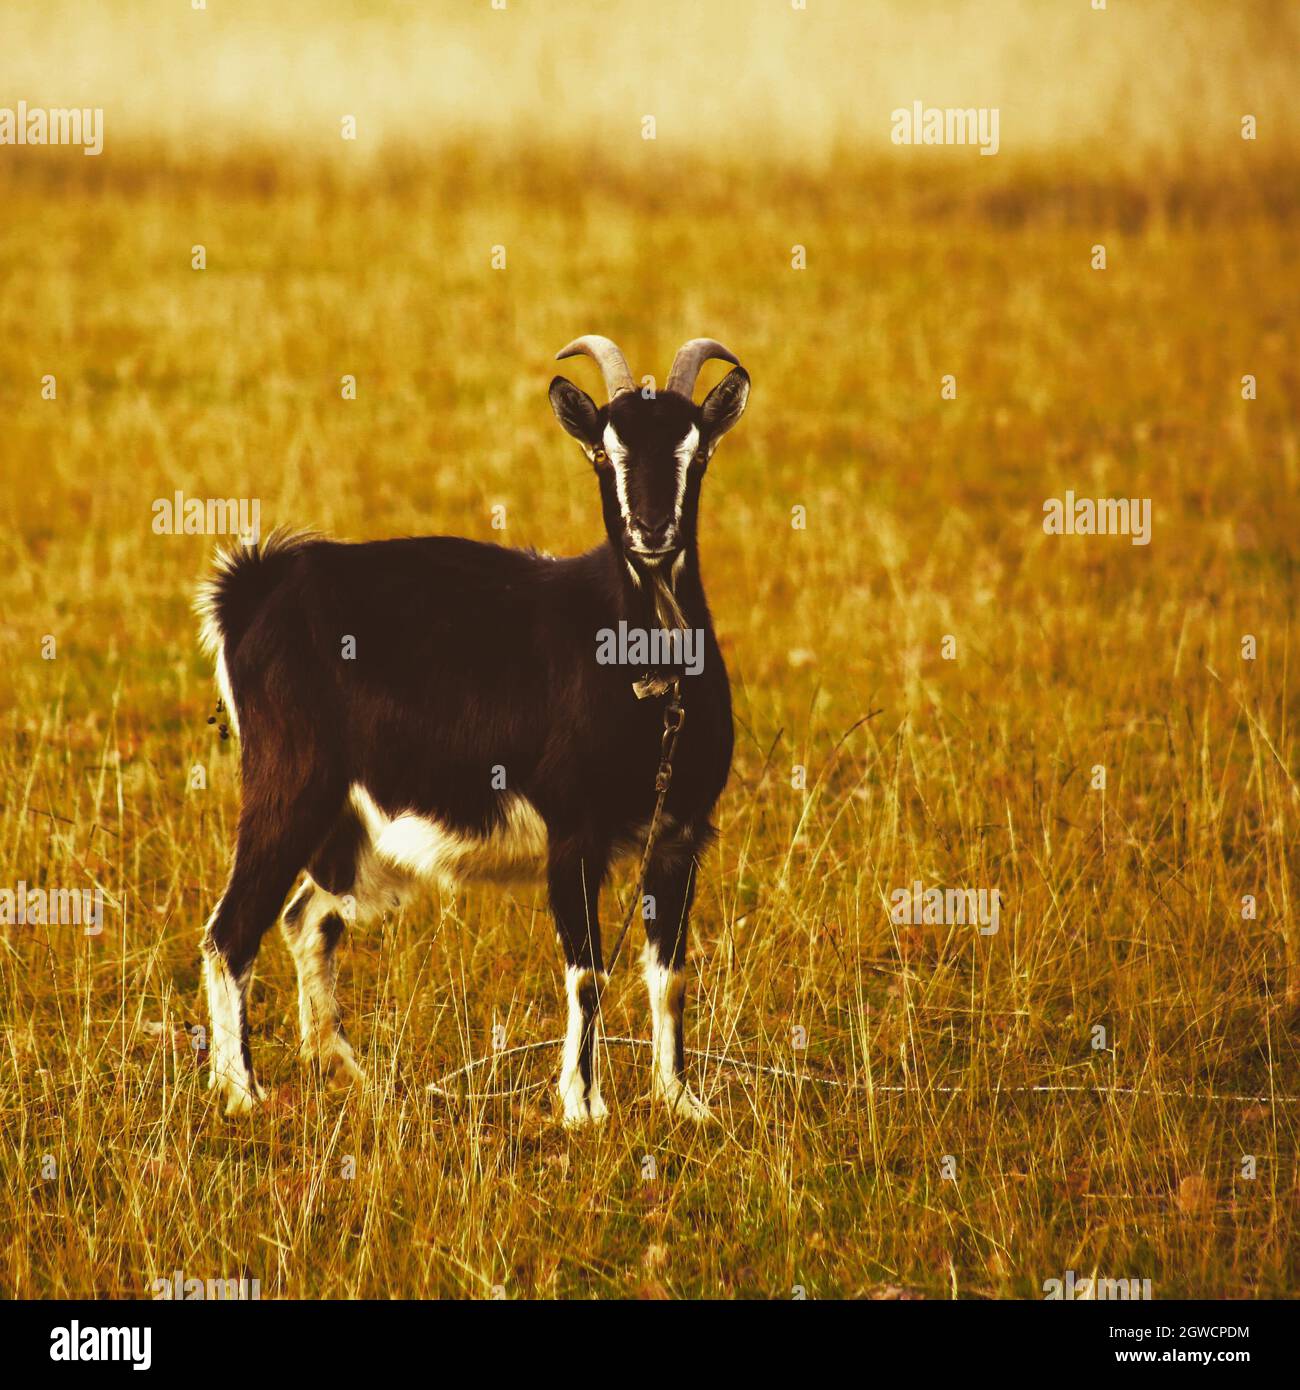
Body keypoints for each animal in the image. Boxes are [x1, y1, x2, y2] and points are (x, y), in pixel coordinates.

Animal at [195, 335, 750, 1125]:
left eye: (696, 452)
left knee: (307, 918)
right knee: (232, 929)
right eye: (602, 452)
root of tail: (254, 590)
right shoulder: (574, 832)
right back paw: (242, 1091)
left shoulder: (680, 833)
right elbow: (587, 972)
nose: (651, 531)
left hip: (352, 821)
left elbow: (669, 975)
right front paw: (583, 1108)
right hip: (290, 781)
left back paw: (343, 1068)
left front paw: (681, 1101)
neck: (650, 672)